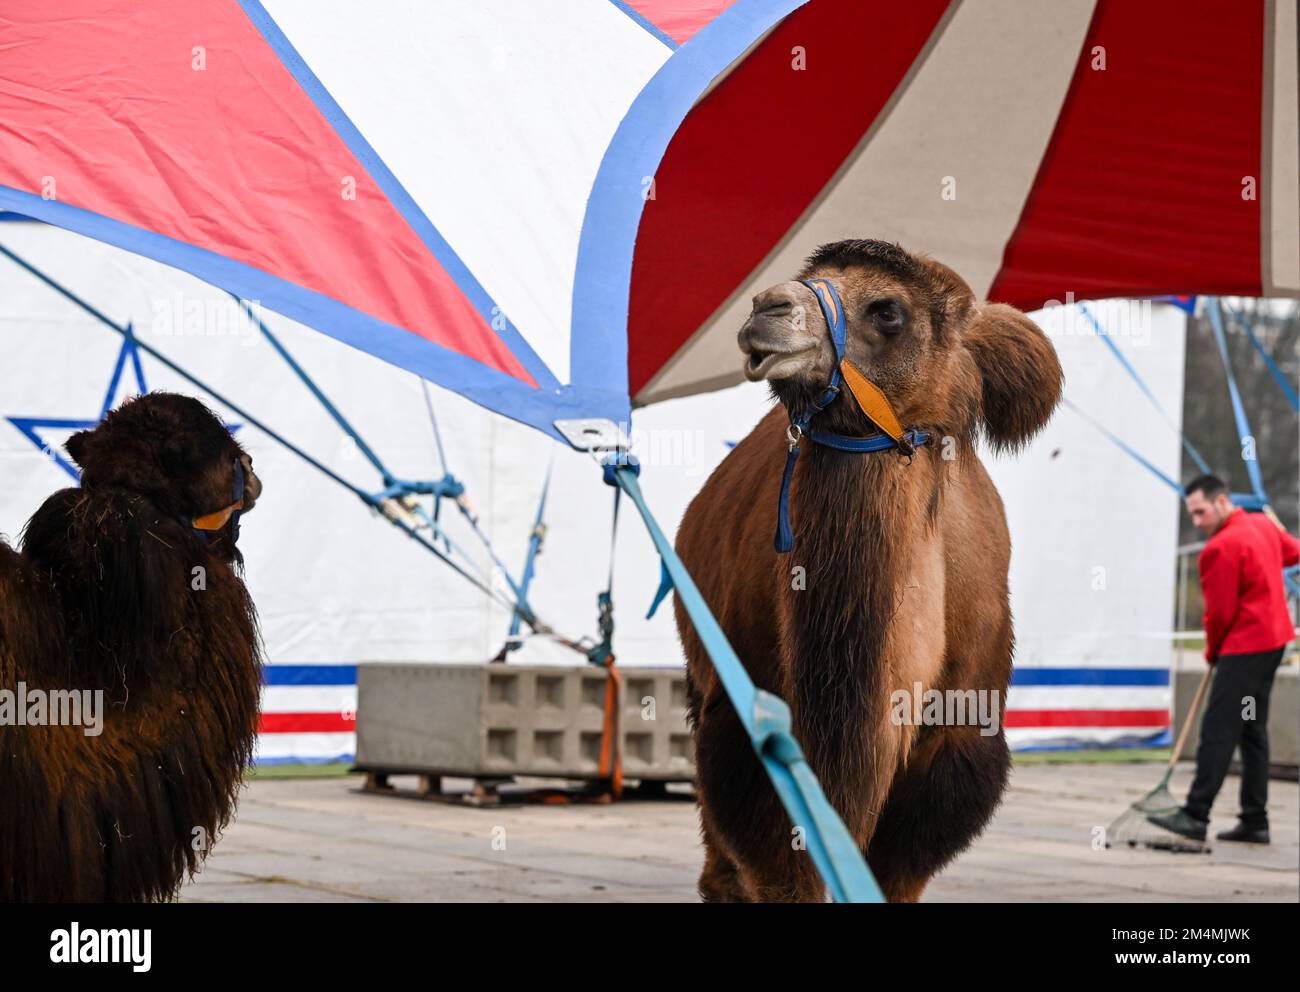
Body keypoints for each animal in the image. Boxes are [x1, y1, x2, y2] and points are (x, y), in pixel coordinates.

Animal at [674, 239, 1062, 902]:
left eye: (887, 310)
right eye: (810, 279)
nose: (765, 307)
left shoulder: (954, 745)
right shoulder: (754, 725)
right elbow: (789, 861)